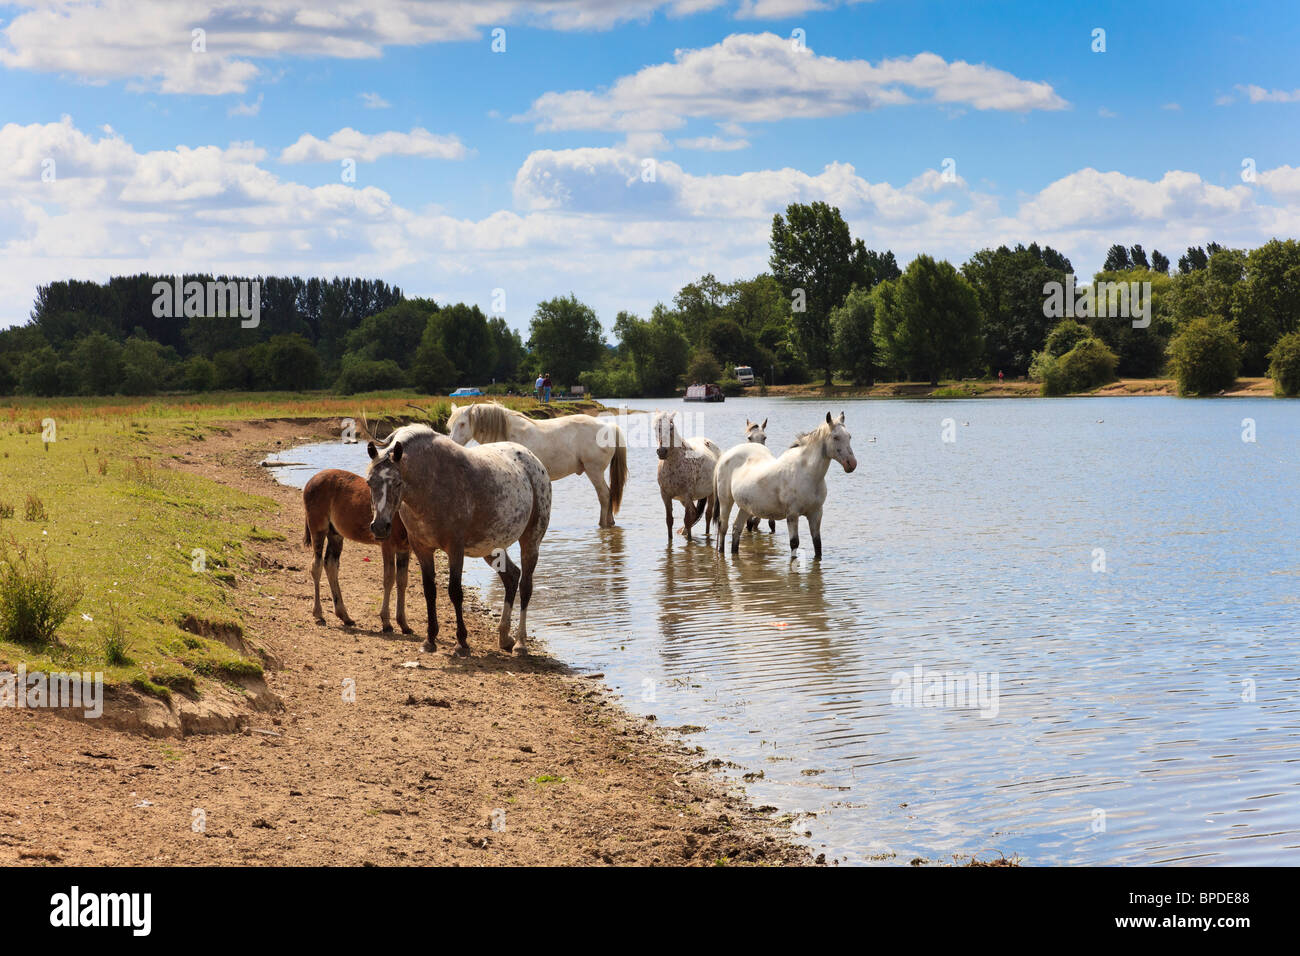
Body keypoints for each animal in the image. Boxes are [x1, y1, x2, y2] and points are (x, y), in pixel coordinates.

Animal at [303, 469, 412, 634]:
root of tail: (310, 481)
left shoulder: (405, 550)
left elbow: (402, 581)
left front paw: (404, 624)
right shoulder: (387, 546)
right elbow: (389, 579)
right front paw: (386, 622)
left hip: (335, 534)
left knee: (331, 565)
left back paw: (344, 616)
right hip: (318, 528)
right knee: (316, 566)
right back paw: (318, 613)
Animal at [366, 424, 551, 657]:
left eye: (397, 483)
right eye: (369, 482)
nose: (380, 526)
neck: (432, 482)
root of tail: (533, 460)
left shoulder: (455, 548)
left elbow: (455, 592)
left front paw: (461, 643)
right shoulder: (422, 548)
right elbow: (430, 591)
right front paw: (429, 640)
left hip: (531, 540)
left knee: (526, 586)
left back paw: (520, 644)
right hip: (491, 547)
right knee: (511, 577)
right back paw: (504, 637)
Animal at [446, 402, 627, 528]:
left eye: (462, 423)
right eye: (450, 424)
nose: (452, 443)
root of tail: (609, 427)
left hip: (594, 471)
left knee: (604, 495)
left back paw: (603, 524)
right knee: (609, 494)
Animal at [653, 411, 720, 542]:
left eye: (671, 427)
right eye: (656, 427)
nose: (662, 451)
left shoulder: (687, 495)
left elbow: (687, 520)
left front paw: (689, 541)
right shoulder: (665, 496)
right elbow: (669, 520)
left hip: (711, 494)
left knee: (708, 515)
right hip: (683, 500)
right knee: (695, 512)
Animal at [715, 412, 857, 559]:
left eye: (849, 436)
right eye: (836, 437)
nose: (851, 464)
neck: (807, 473)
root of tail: (726, 455)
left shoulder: (816, 513)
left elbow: (817, 544)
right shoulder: (792, 514)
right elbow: (794, 543)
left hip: (745, 507)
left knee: (736, 528)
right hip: (726, 502)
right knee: (723, 527)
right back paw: (720, 551)